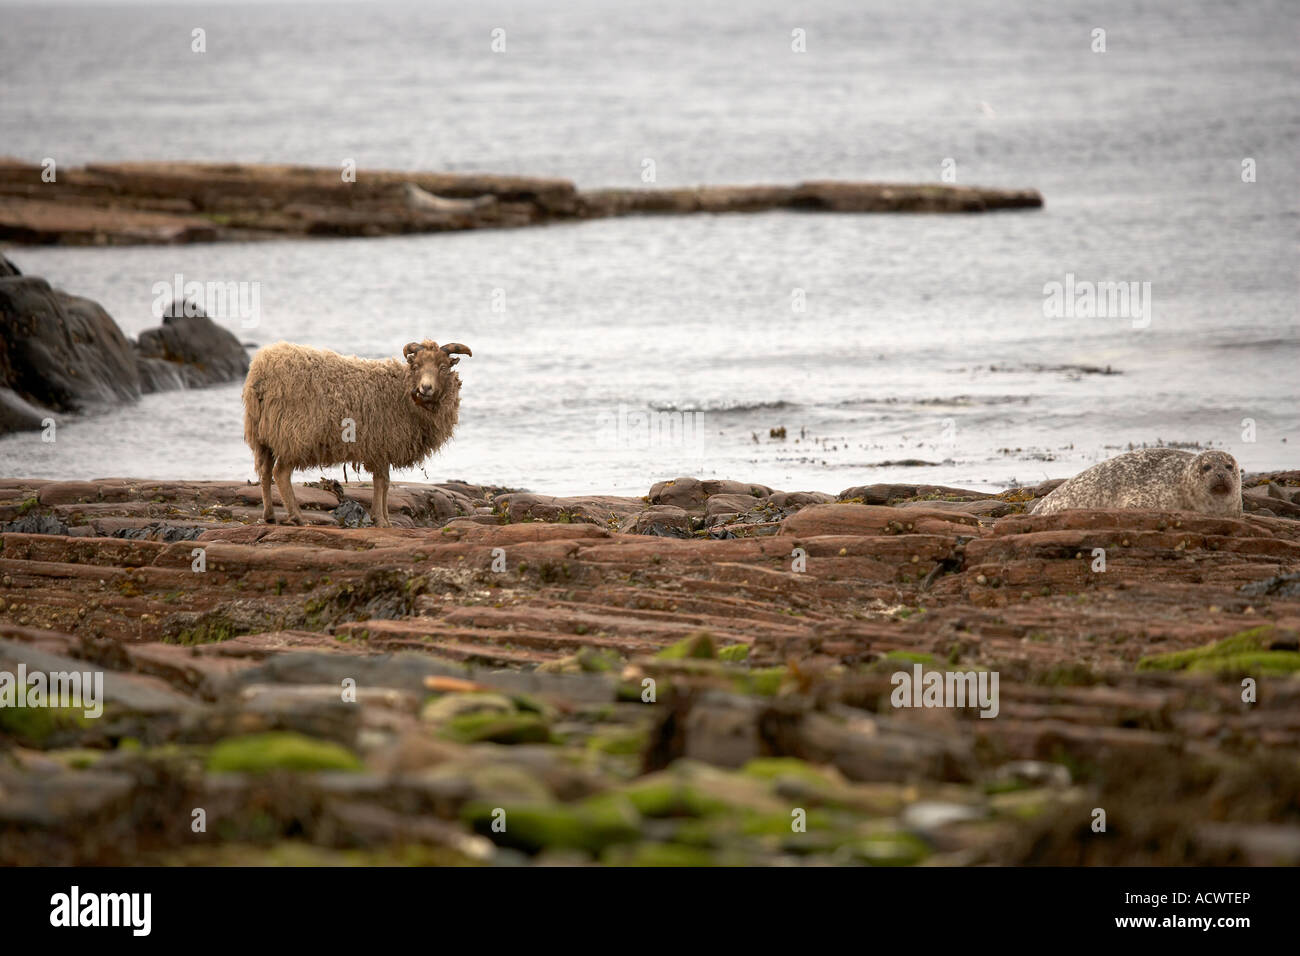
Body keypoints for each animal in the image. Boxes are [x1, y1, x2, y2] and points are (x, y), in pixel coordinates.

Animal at [241, 339, 472, 527]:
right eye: (416, 366)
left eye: (443, 367)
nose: (426, 388)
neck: (403, 389)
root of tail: (261, 371)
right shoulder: (381, 443)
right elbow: (382, 482)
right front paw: (381, 520)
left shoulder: (381, 448)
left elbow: (385, 483)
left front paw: (385, 518)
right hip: (292, 434)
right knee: (280, 473)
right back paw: (296, 516)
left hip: (264, 434)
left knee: (264, 472)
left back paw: (269, 515)